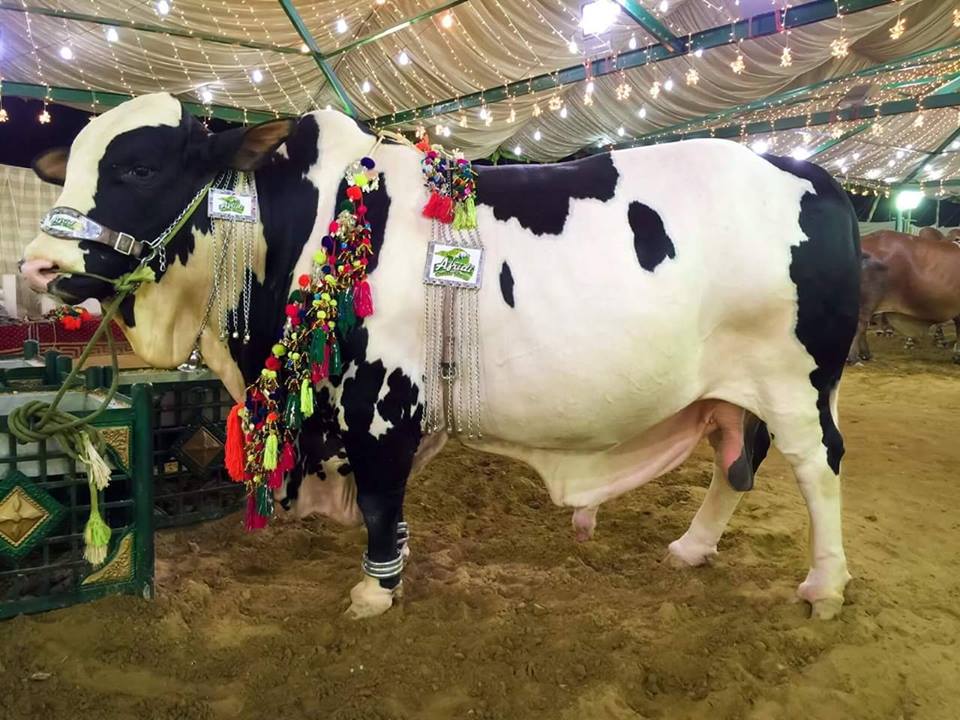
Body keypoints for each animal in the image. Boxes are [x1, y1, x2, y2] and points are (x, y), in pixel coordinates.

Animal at [20, 93, 860, 620]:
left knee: (817, 468)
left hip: (798, 386)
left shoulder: (381, 403)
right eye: (74, 165)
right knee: (734, 458)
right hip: (732, 389)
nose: (34, 266)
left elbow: (378, 498)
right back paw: (691, 547)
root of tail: (808, 171)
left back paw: (825, 586)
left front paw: (376, 591)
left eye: (138, 168)